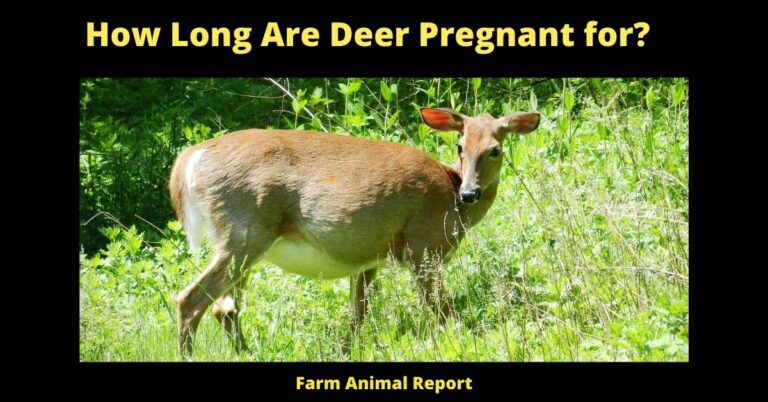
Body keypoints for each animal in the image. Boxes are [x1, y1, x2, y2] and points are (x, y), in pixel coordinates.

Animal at [169, 107, 540, 357]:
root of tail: (190, 158)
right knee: (191, 299)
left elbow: (358, 314)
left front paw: (347, 351)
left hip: (242, 240)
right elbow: (440, 309)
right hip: (244, 231)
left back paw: (247, 353)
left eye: (495, 149)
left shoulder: (370, 257)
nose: (470, 192)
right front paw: (459, 340)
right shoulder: (424, 245)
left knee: (225, 307)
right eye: (460, 146)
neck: (451, 200)